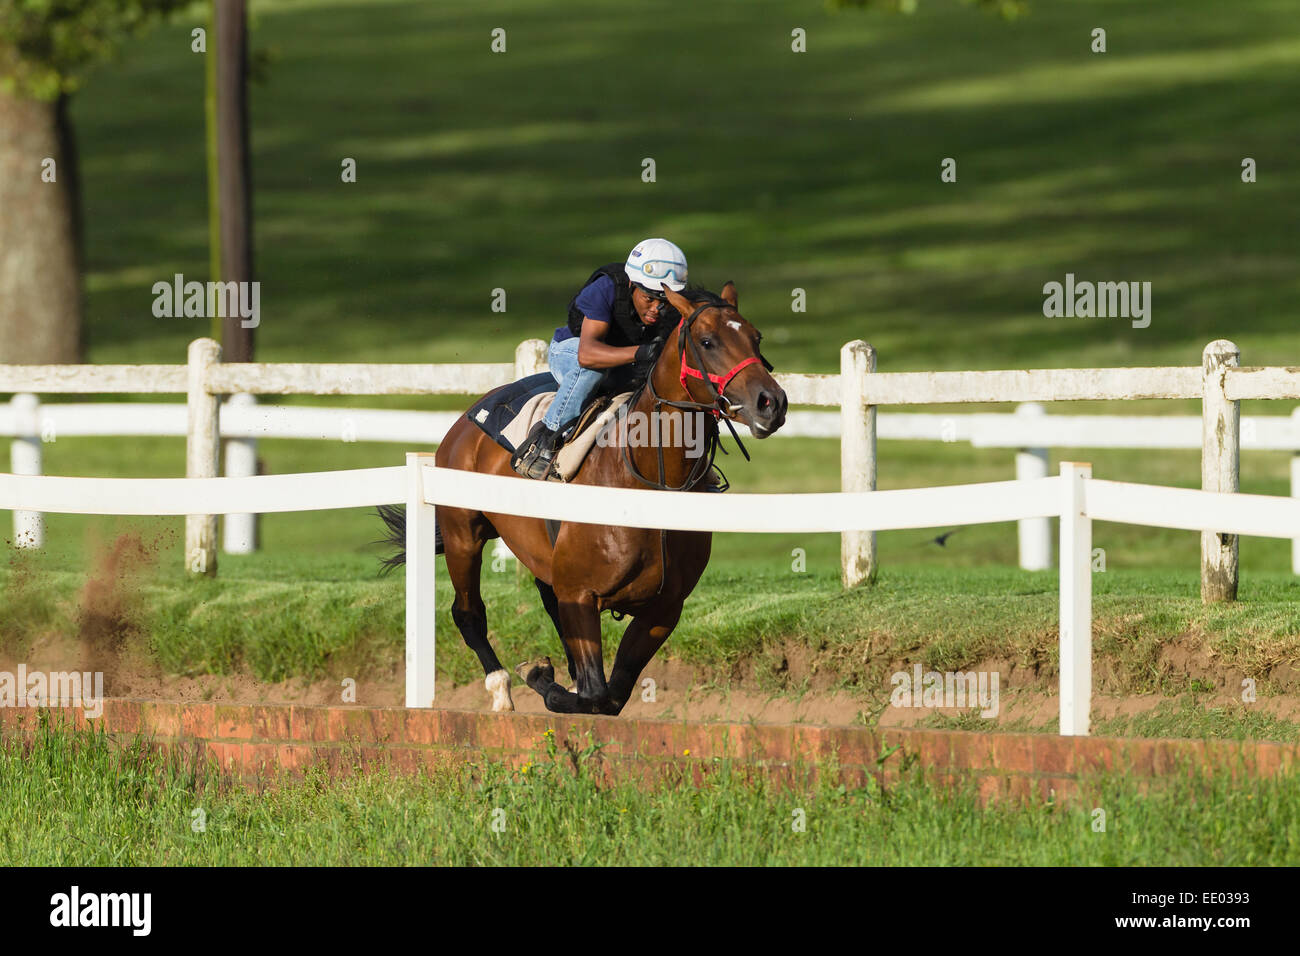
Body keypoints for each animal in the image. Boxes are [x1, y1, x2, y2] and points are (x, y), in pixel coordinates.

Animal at [378, 282, 787, 715]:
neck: (648, 486)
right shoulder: (580, 594)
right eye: (708, 341)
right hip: (463, 535)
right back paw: (500, 688)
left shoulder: (663, 609)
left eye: (756, 337)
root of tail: (470, 414)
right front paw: (539, 674)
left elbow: (612, 694)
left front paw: (556, 676)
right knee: (468, 612)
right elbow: (593, 695)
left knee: (545, 599)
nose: (771, 402)